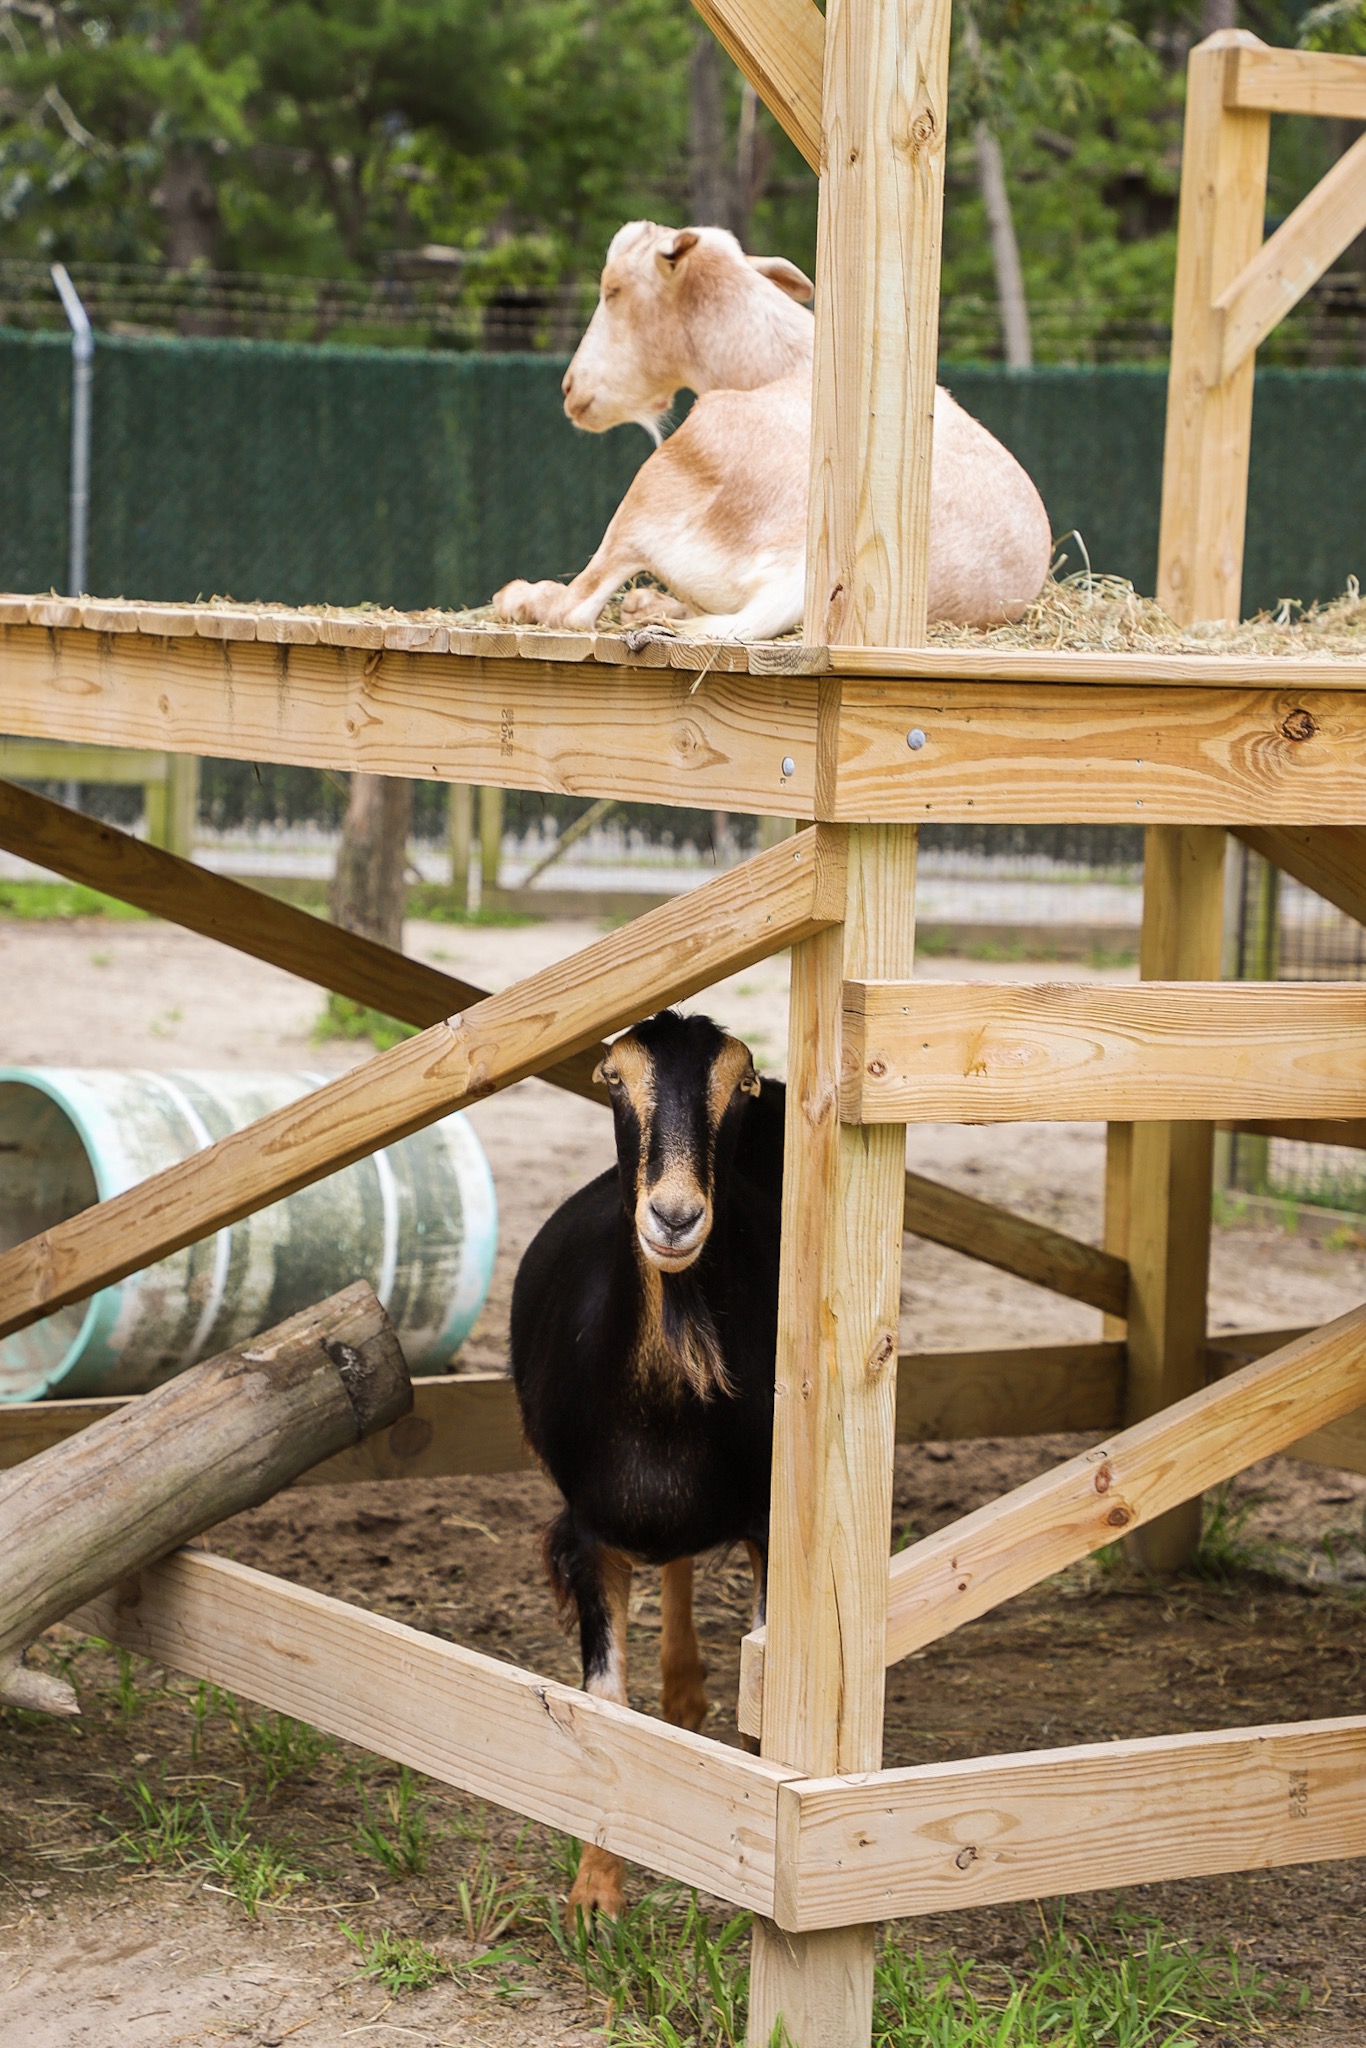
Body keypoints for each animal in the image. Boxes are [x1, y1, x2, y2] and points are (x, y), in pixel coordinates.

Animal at [492, 219, 1052, 641]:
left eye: (613, 290)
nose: (571, 388)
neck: (787, 358)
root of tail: (797, 572)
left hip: (658, 482)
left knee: (576, 606)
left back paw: (524, 597)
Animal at [509, 1009, 783, 1919]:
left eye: (743, 1082)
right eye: (612, 1078)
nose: (673, 1216)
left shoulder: (769, 1521)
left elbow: (764, 1700)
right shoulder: (589, 1529)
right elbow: (606, 1706)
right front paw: (595, 1897)